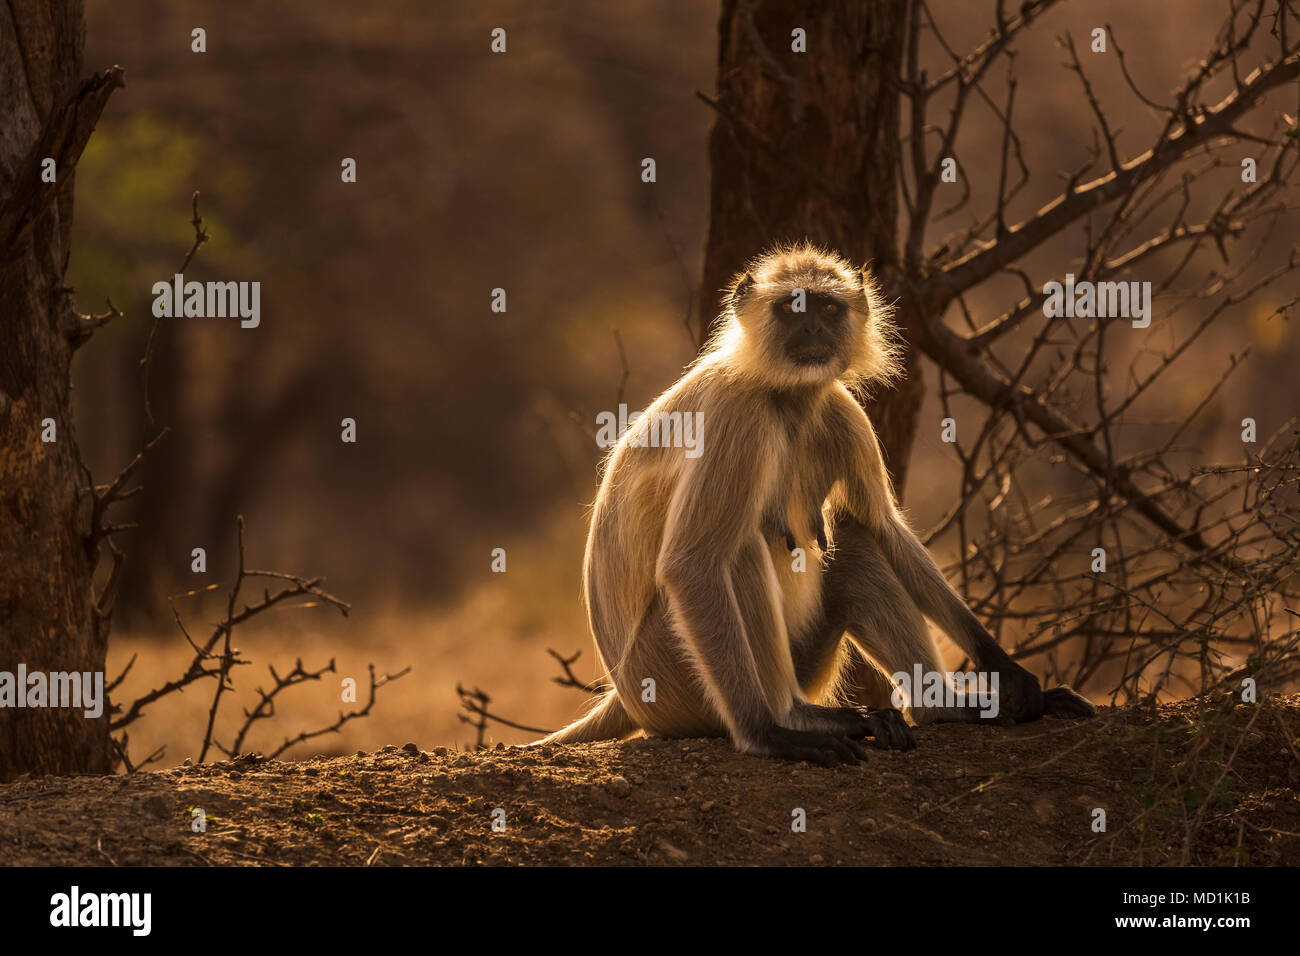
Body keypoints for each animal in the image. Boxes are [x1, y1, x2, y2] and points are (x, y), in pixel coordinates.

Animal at [539, 242, 1093, 765]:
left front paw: (1005, 668)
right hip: (669, 680)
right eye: (792, 307)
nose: (811, 328)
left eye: (826, 307)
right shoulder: (737, 415)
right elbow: (691, 563)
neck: (786, 398)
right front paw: (765, 737)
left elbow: (887, 528)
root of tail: (624, 694)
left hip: (799, 662)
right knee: (737, 549)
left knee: (853, 537)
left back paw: (940, 708)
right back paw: (790, 719)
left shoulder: (844, 410)